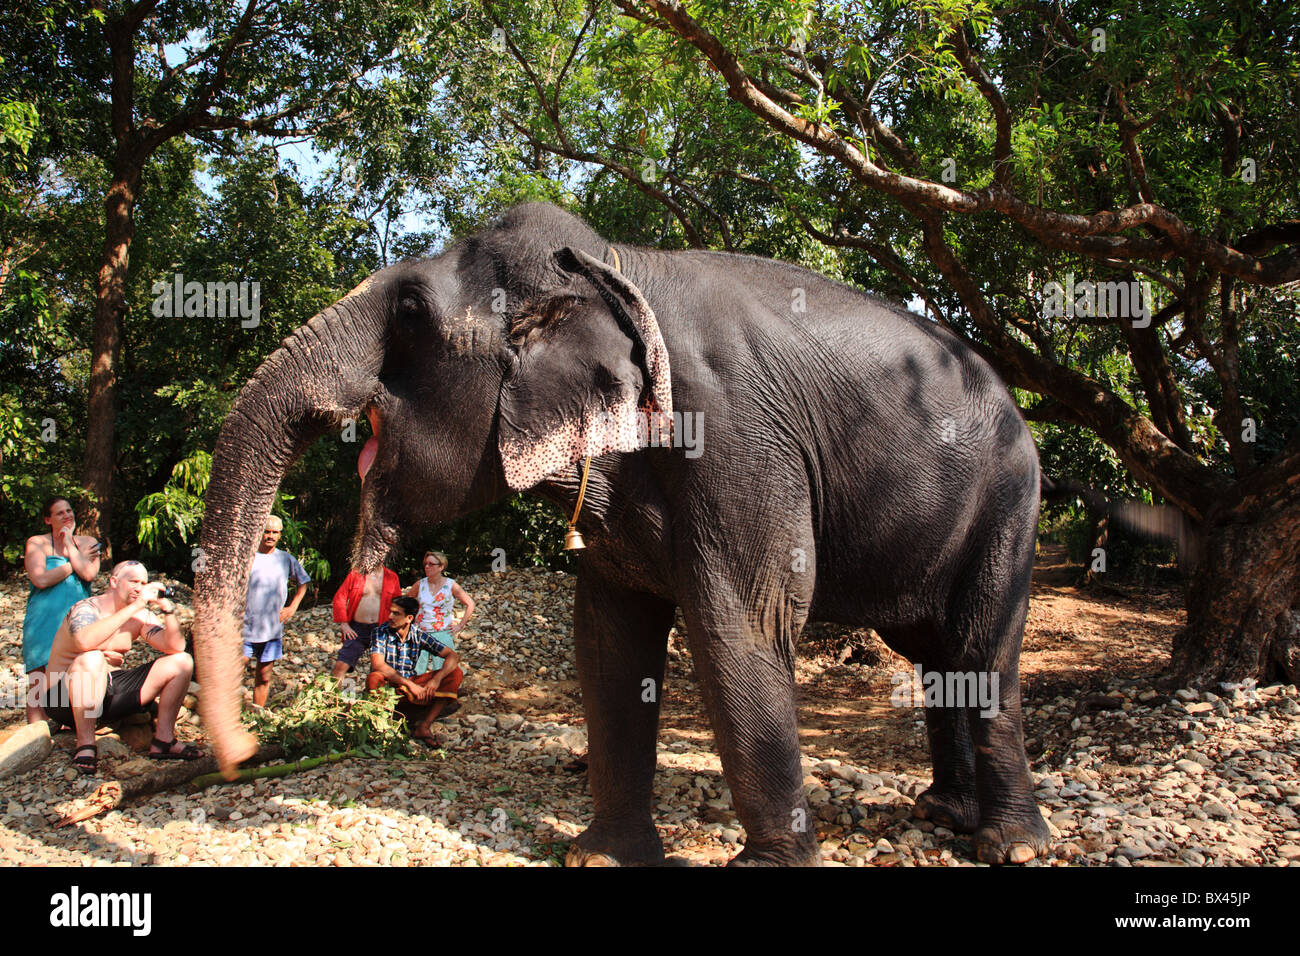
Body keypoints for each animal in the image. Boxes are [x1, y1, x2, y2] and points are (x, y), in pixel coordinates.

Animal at [192, 202, 1050, 865]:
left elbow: (742, 622)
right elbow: (607, 637)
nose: (242, 758)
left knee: (982, 646)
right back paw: (943, 813)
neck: (613, 268)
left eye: (408, 311)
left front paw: (767, 863)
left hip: (1010, 502)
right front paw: (601, 856)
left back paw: (1009, 843)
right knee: (937, 654)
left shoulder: (734, 440)